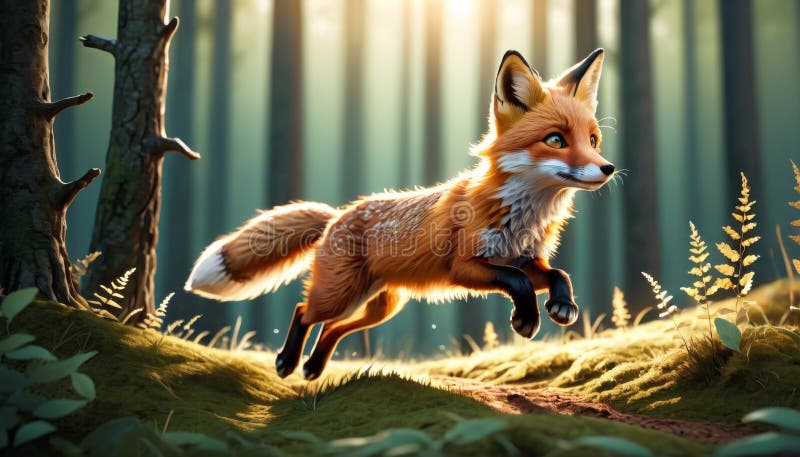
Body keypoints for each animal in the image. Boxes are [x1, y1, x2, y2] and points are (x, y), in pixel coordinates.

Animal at [185, 49, 615, 380]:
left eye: (593, 140)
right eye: (555, 140)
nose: (608, 168)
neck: (521, 216)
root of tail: (337, 215)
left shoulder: (526, 259)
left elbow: (557, 274)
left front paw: (562, 305)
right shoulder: (466, 266)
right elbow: (517, 282)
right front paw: (526, 319)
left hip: (381, 305)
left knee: (333, 327)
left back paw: (314, 366)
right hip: (341, 295)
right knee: (305, 311)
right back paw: (288, 361)